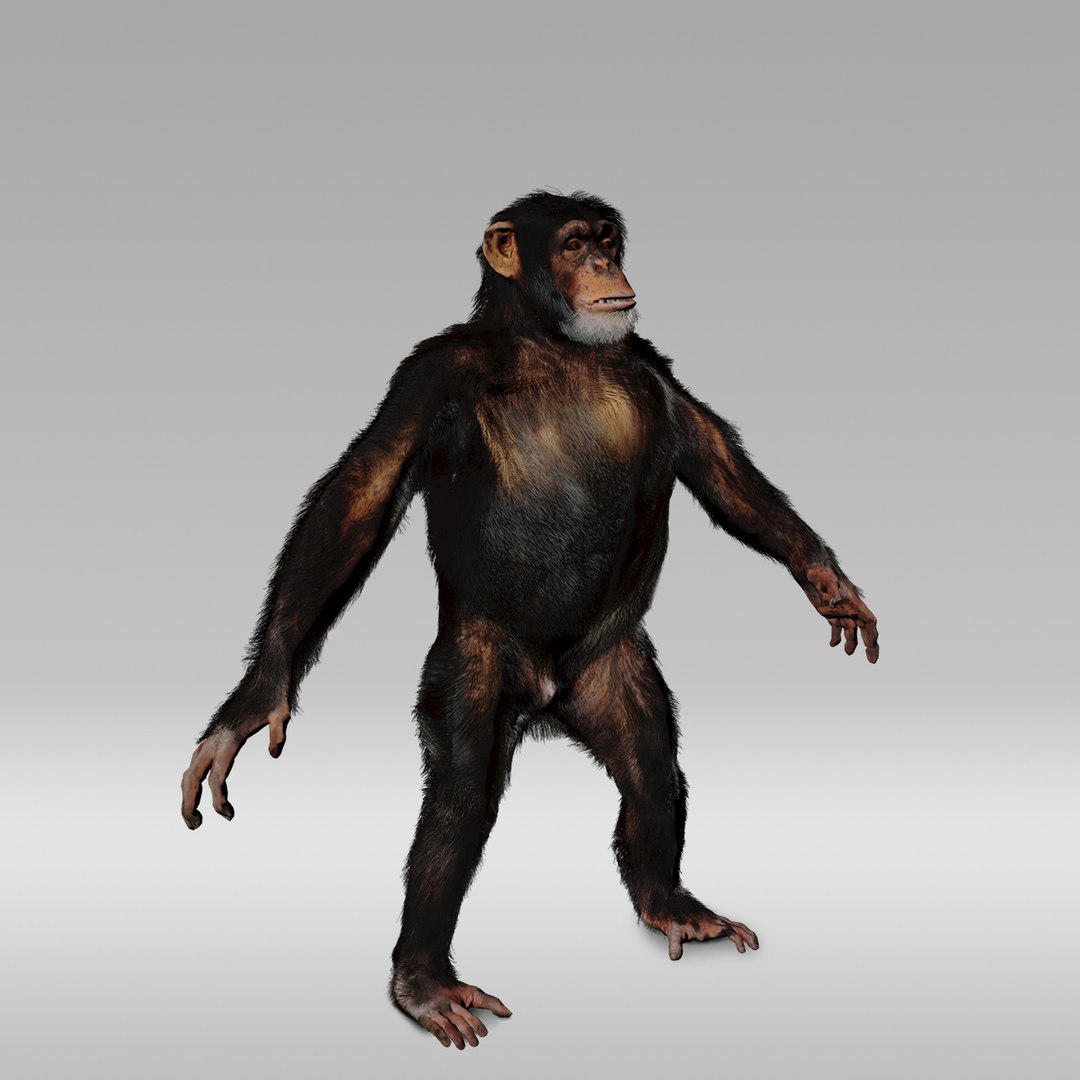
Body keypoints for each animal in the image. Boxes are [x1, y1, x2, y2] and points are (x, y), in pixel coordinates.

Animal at [181, 190, 879, 1050]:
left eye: (609, 240)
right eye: (575, 244)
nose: (606, 265)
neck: (551, 345)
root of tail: (546, 700)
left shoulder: (650, 361)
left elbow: (713, 457)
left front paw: (829, 583)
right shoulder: (429, 375)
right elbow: (360, 494)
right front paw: (254, 701)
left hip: (609, 671)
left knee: (652, 768)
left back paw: (670, 904)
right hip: (474, 667)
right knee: (459, 800)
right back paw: (425, 984)